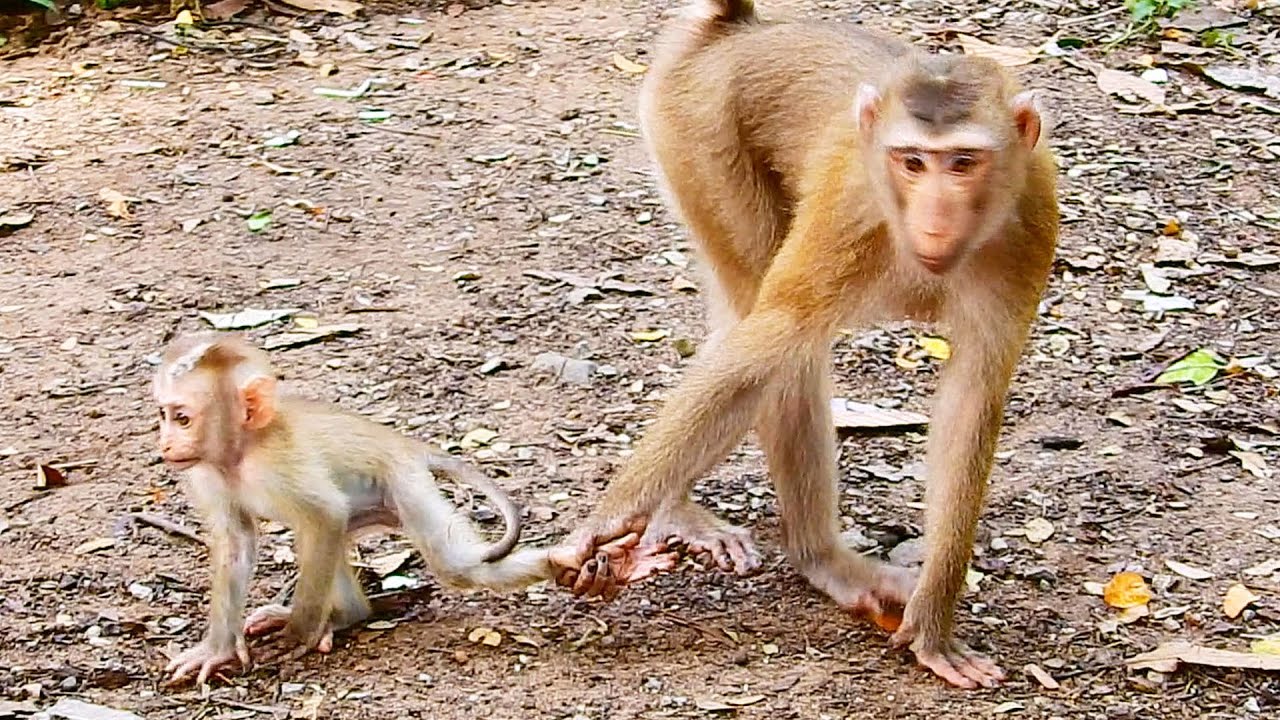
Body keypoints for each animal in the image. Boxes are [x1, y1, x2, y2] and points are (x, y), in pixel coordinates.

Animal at [154, 332, 674, 685]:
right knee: (334, 537)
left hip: (404, 481)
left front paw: (297, 638)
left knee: (449, 564)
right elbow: (237, 543)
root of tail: (401, 441)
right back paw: (351, 615)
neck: (240, 454)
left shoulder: (280, 464)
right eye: (164, 415)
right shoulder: (203, 472)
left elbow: (322, 516)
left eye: (183, 417)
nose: (165, 444)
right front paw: (217, 649)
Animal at [546, 0, 1058, 689]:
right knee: (774, 340)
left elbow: (972, 396)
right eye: (912, 162)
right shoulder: (850, 208)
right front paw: (609, 518)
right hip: (700, 138)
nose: (934, 218)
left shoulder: (1031, 221)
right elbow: (774, 338)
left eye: (963, 163)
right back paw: (800, 551)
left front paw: (933, 619)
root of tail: (739, 31)